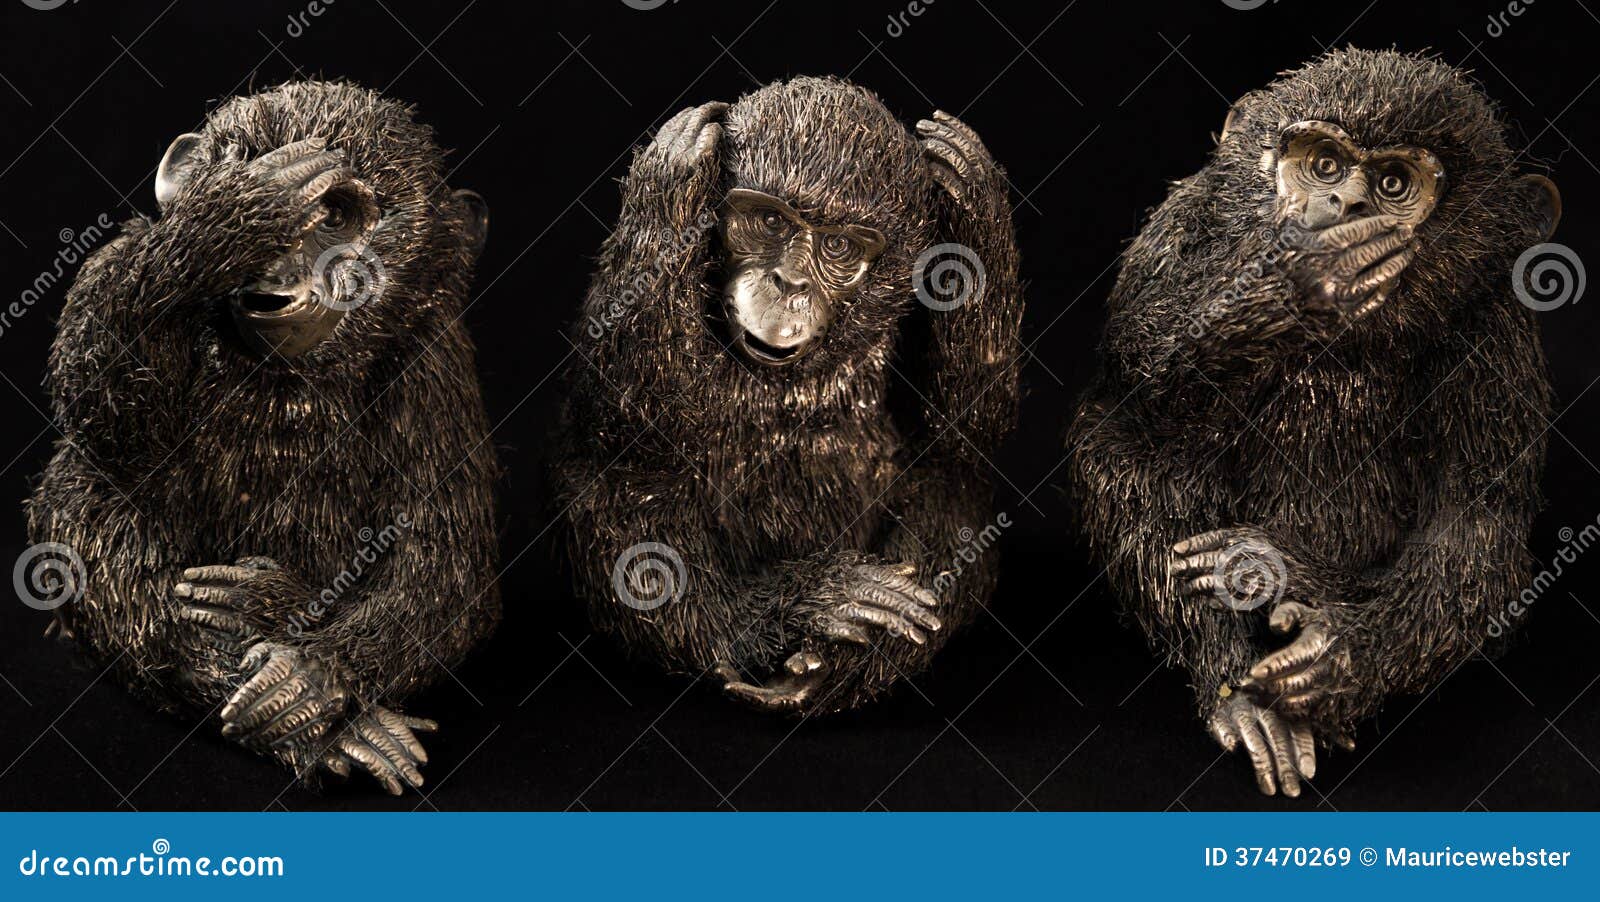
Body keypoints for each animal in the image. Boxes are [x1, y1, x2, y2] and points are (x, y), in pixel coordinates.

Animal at [26, 81, 499, 795]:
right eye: (301, 217)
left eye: (336, 218)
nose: (277, 266)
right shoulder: (119, 264)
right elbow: (114, 432)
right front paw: (232, 211)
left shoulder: (433, 362)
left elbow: (444, 548)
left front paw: (312, 670)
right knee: (80, 501)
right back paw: (333, 731)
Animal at [554, 77, 1022, 713]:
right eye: (771, 222)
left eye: (838, 247)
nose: (790, 282)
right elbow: (626, 461)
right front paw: (671, 177)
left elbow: (960, 451)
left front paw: (973, 191)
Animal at [1065, 49, 1559, 796]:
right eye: (1324, 164)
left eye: (1392, 182)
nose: (1341, 206)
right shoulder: (1175, 232)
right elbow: (1138, 385)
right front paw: (1298, 280)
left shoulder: (1497, 328)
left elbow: (1474, 528)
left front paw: (1338, 658)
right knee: (1118, 460)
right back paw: (1239, 691)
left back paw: (1288, 577)